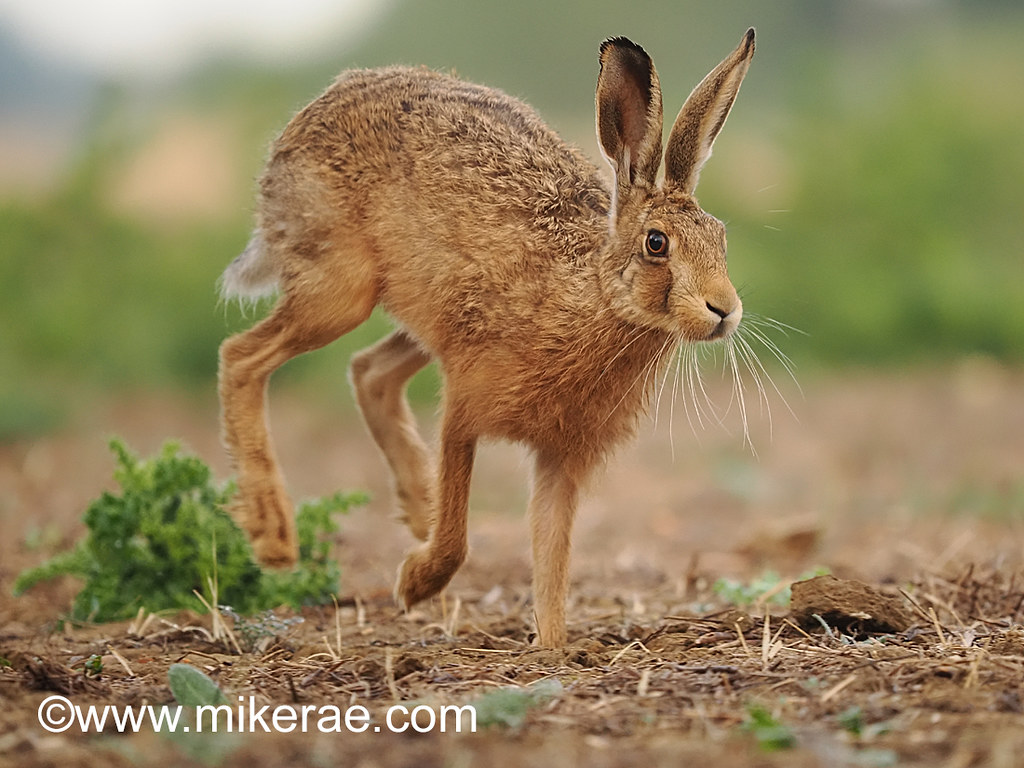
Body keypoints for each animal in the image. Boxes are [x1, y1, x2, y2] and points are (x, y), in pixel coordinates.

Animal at [218, 29, 756, 647]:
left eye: (720, 238)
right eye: (656, 243)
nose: (725, 310)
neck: (596, 294)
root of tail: (302, 125)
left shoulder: (561, 458)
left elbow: (552, 556)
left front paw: (551, 648)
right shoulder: (464, 408)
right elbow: (458, 534)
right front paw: (416, 584)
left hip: (420, 310)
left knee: (369, 370)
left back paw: (415, 507)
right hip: (341, 292)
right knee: (242, 357)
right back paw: (275, 538)